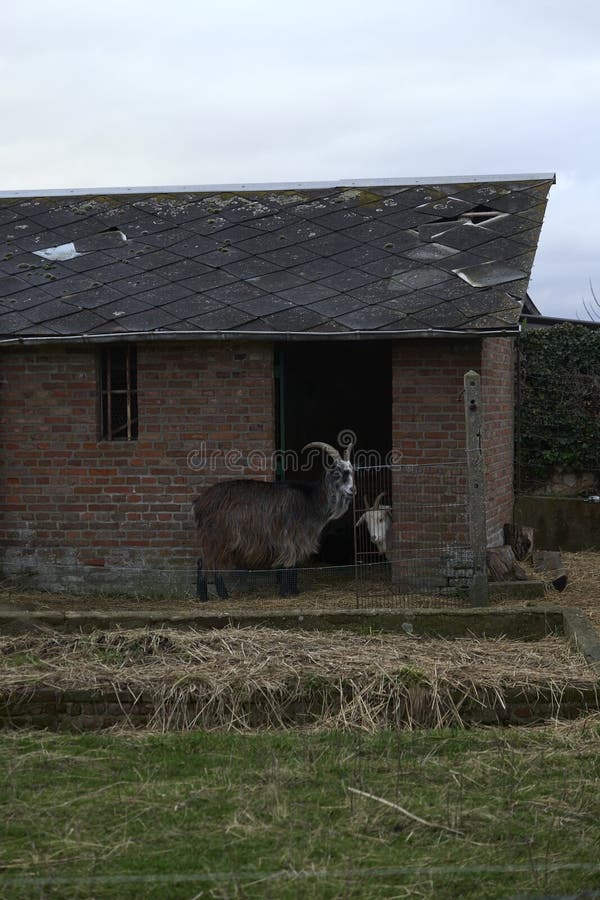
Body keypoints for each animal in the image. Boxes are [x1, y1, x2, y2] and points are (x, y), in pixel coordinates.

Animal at [192, 440, 354, 601]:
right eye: (337, 473)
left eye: (352, 471)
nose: (352, 490)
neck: (311, 500)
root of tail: (200, 502)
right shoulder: (289, 537)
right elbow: (288, 564)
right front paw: (285, 593)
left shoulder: (297, 539)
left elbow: (294, 565)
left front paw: (295, 591)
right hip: (216, 536)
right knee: (207, 563)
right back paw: (210, 596)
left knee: (208, 562)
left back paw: (215, 595)